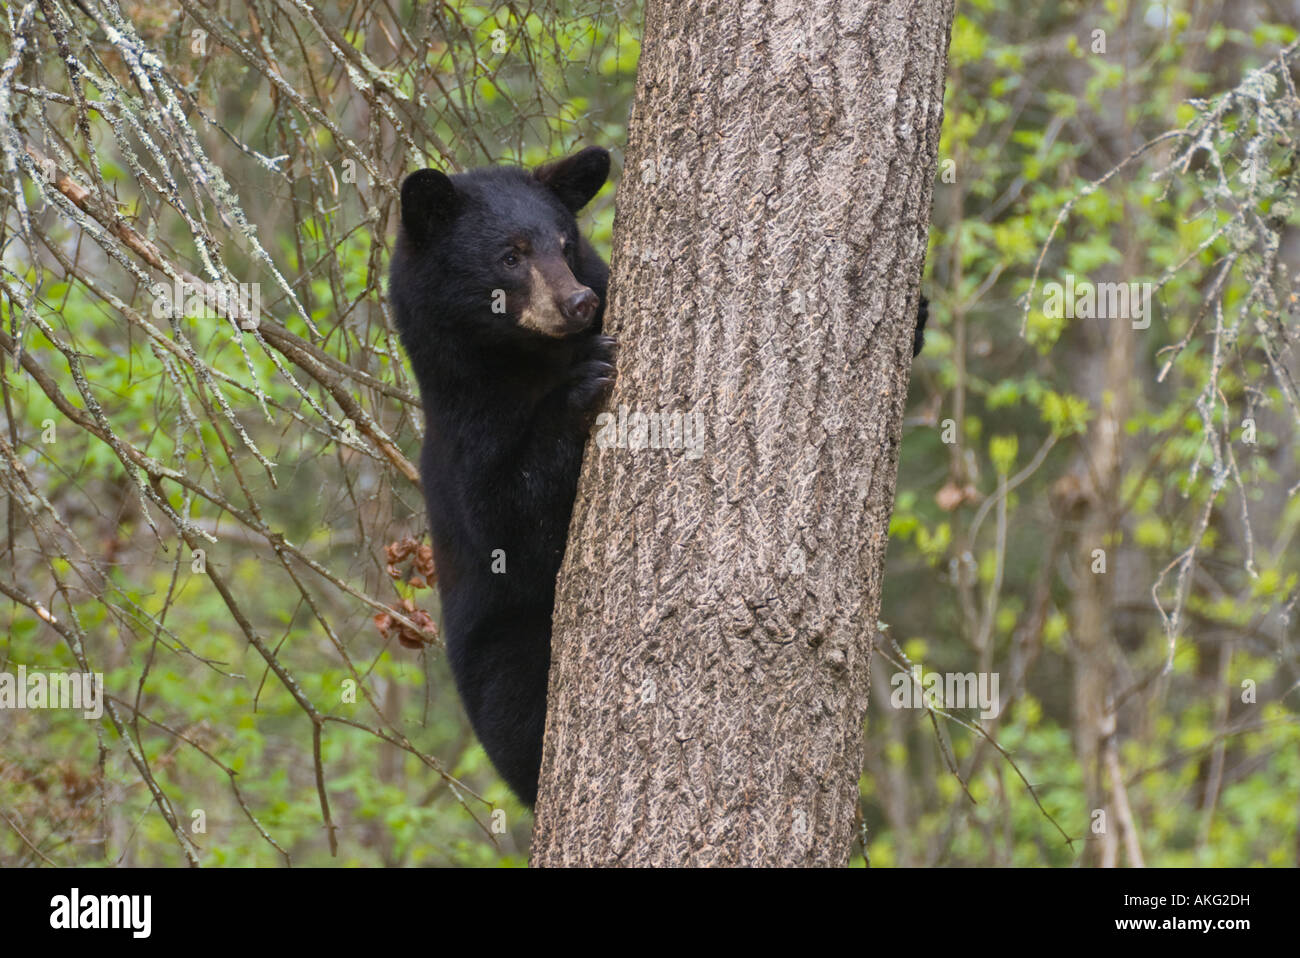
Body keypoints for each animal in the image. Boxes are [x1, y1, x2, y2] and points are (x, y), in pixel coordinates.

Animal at [388, 146, 614, 806]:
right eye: (510, 255)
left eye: (565, 244)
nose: (579, 303)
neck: (527, 359)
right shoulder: (469, 422)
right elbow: (511, 523)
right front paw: (582, 386)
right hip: (502, 655)